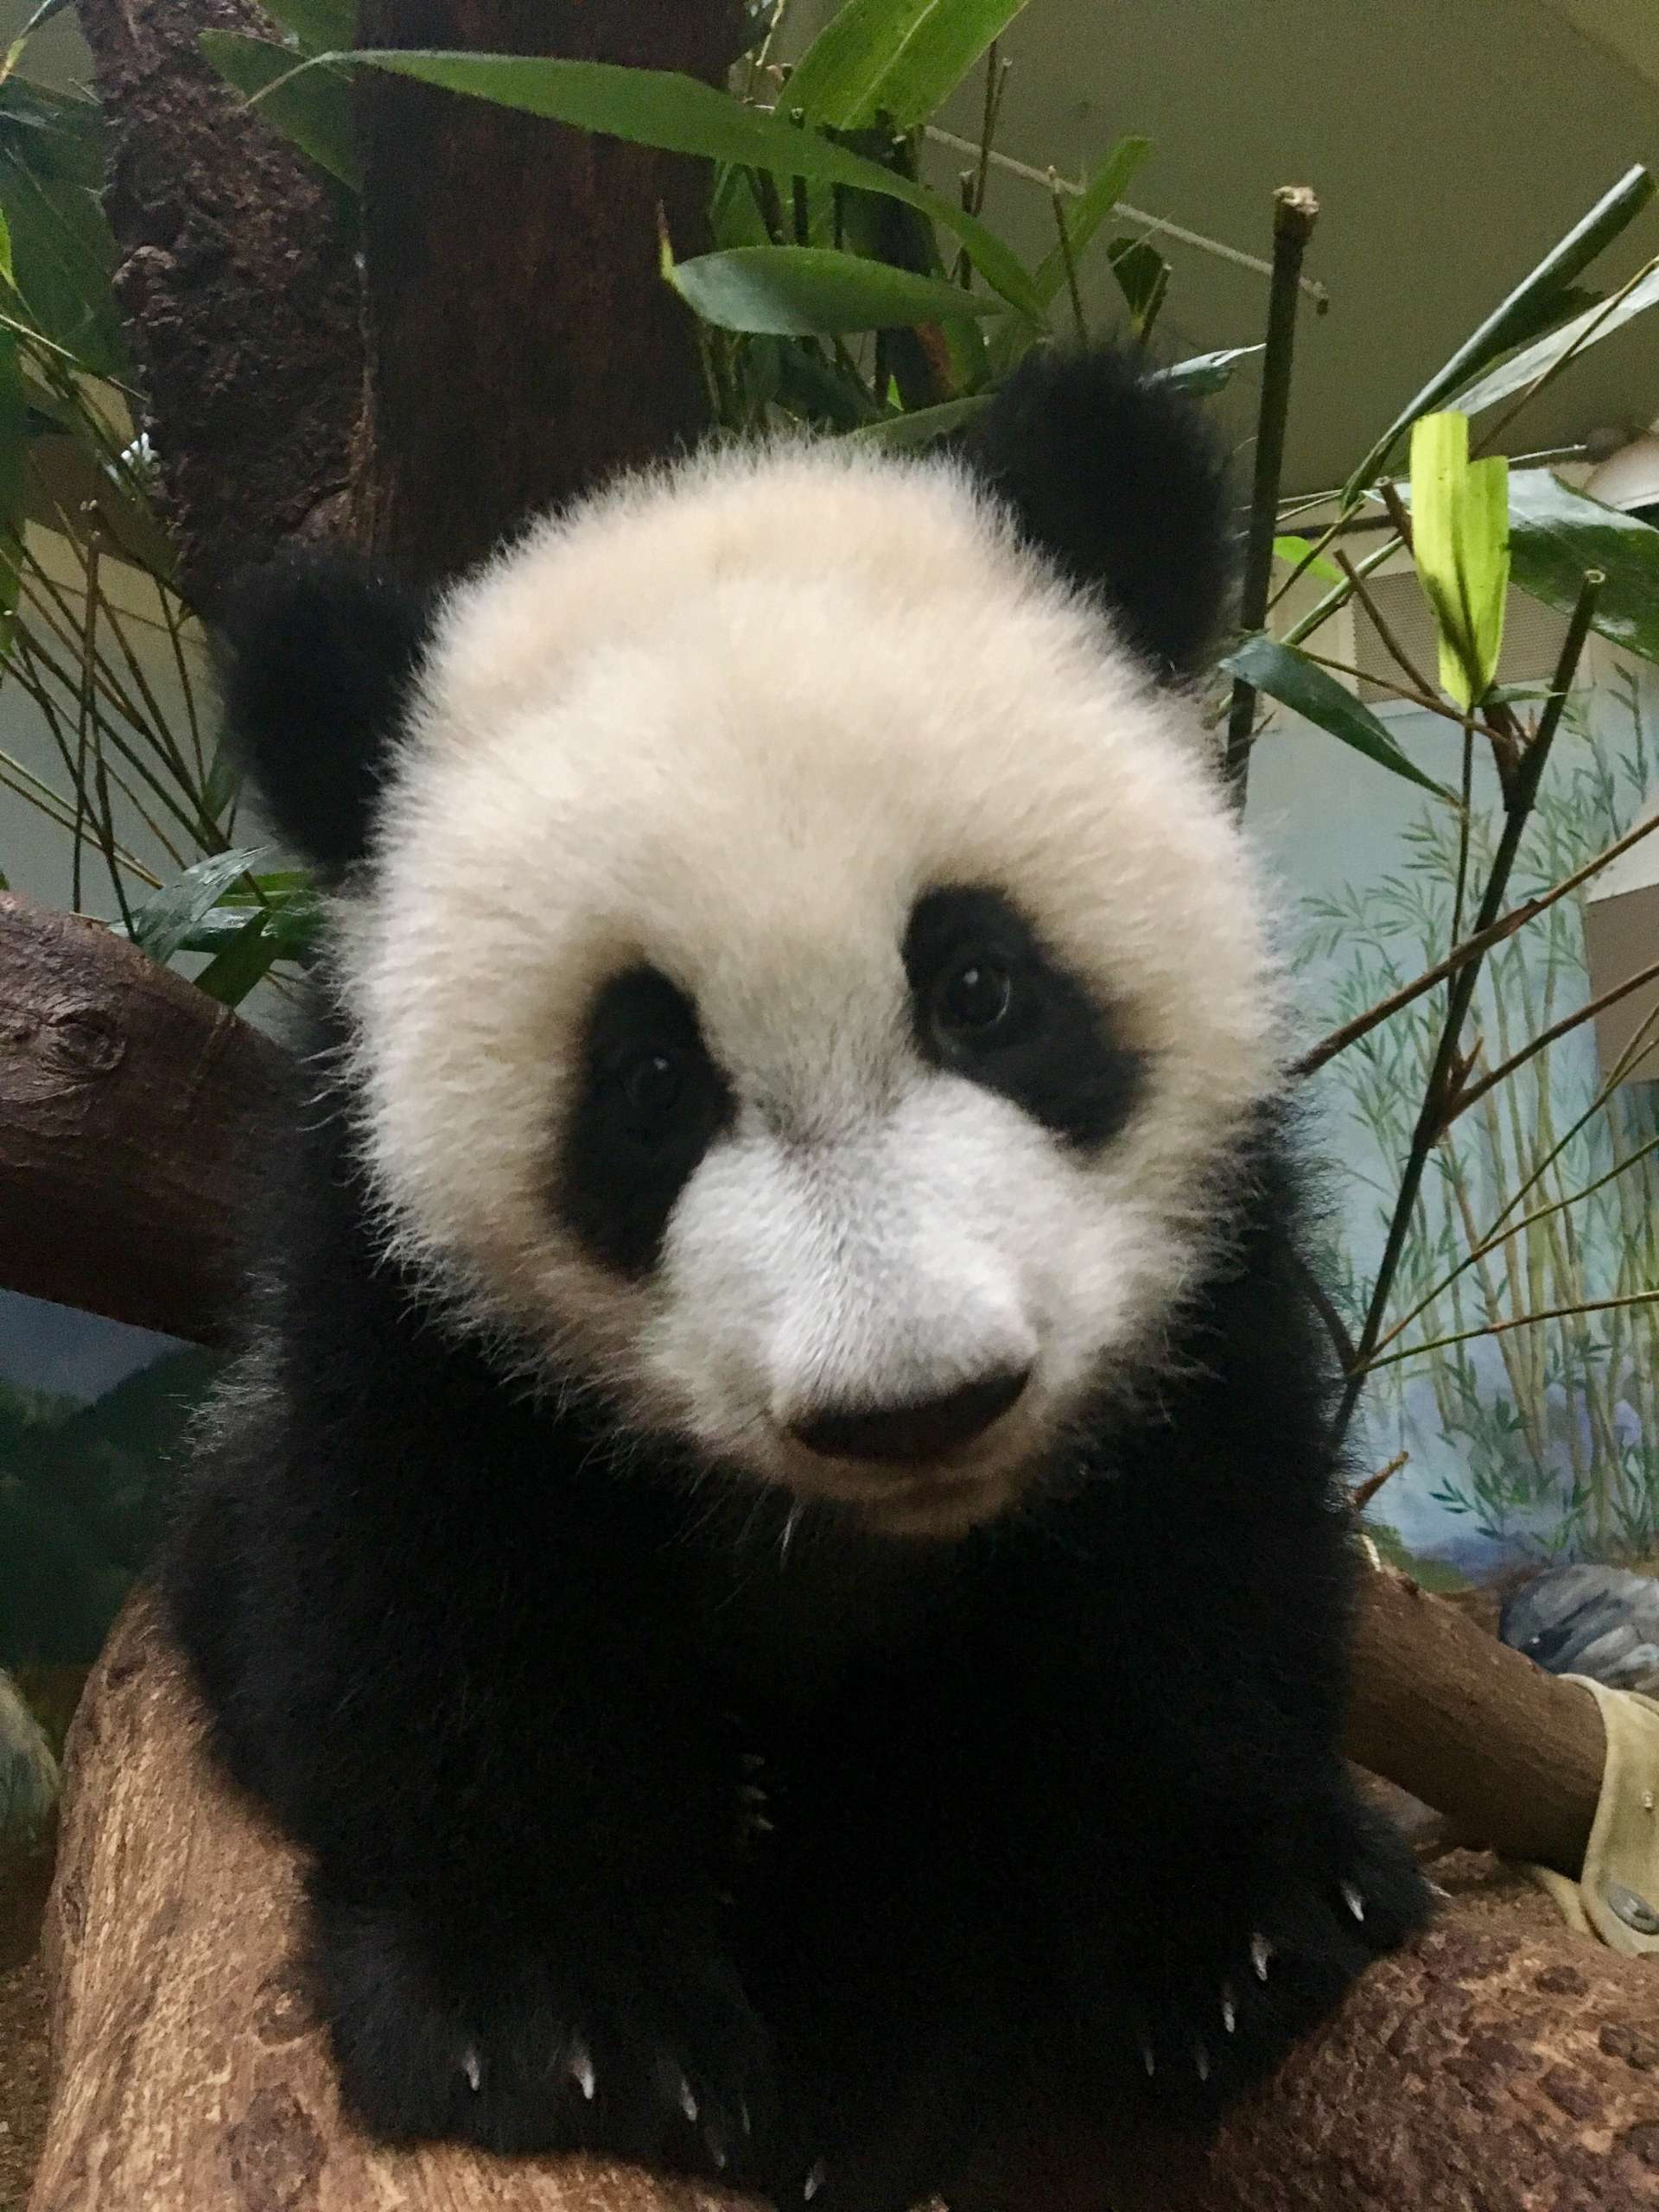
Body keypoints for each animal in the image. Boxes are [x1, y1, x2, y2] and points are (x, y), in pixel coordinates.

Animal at [165, 344, 1429, 2212]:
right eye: (648, 1085)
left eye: (979, 987)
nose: (919, 1407)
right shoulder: (380, 1250)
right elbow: (418, 1562)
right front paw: (545, 2007)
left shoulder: (1198, 1235)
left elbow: (1196, 1530)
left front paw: (1232, 1924)